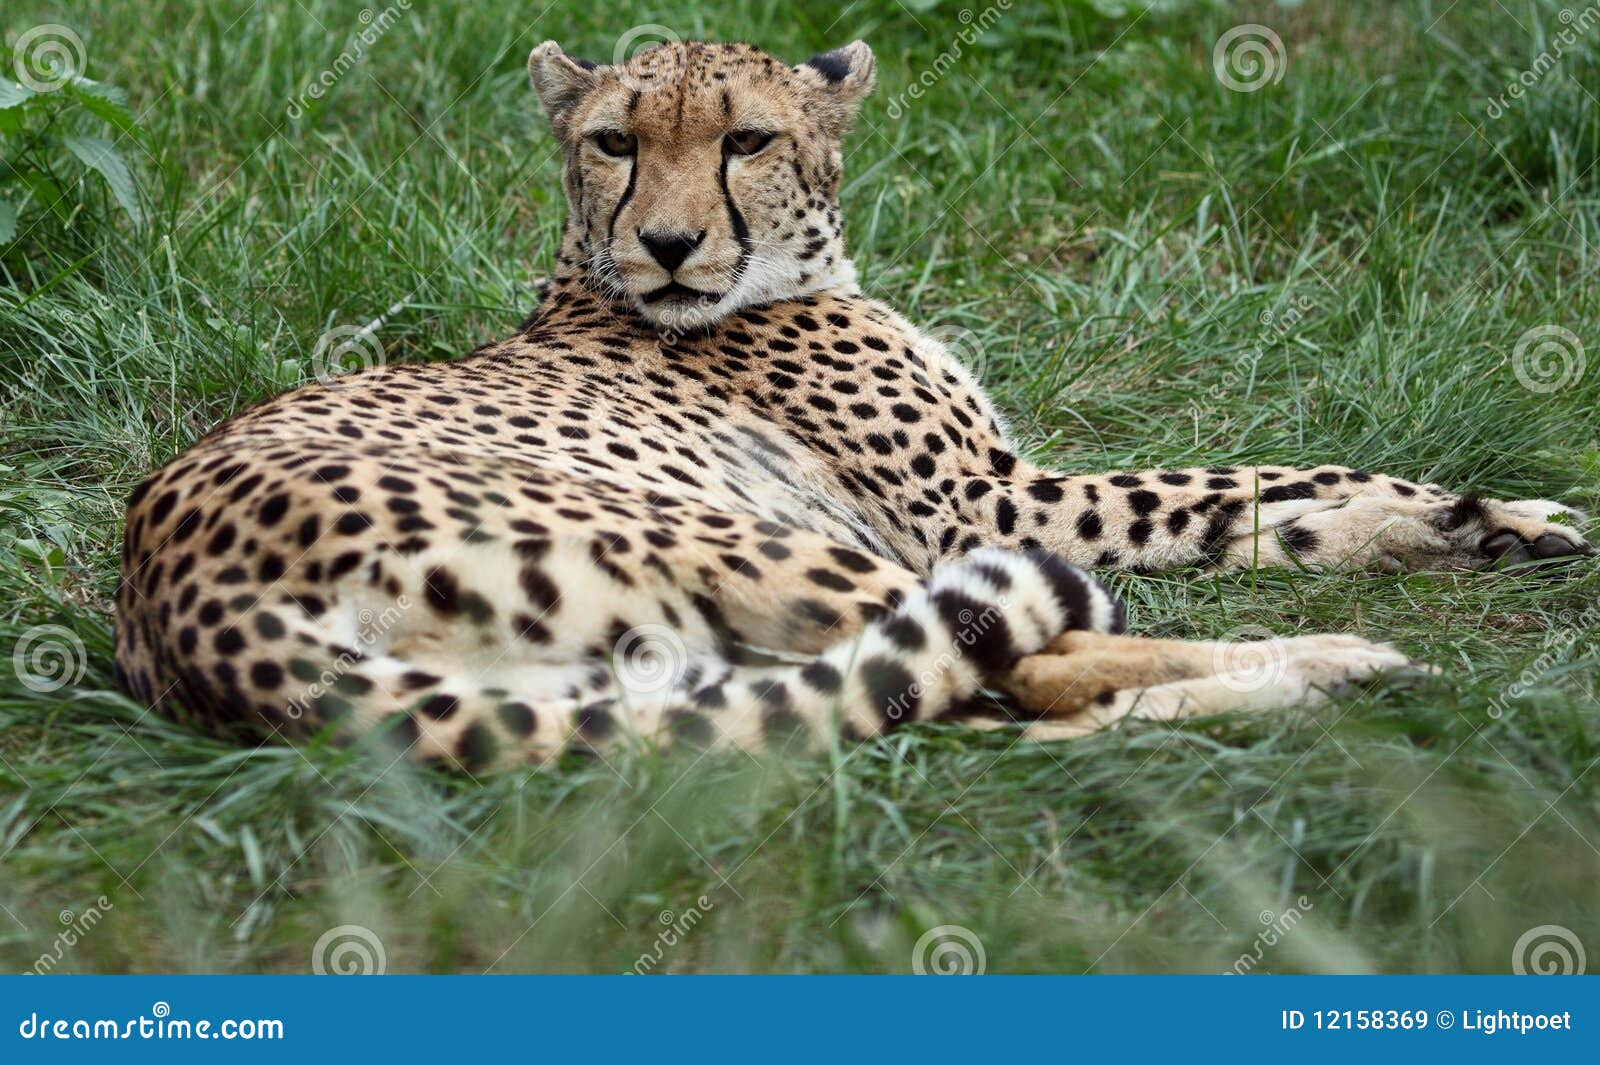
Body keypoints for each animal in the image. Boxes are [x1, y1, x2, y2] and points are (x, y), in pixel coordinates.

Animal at [113, 39, 1593, 771]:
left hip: (659, 663)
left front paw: (1499, 518)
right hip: (752, 538)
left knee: (964, 704)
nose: (666, 245)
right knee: (1028, 663)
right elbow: (1246, 482)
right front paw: (1455, 518)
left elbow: (1283, 493)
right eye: (613, 142)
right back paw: (1336, 665)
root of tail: (172, 598)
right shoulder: (990, 504)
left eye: (745, 141)